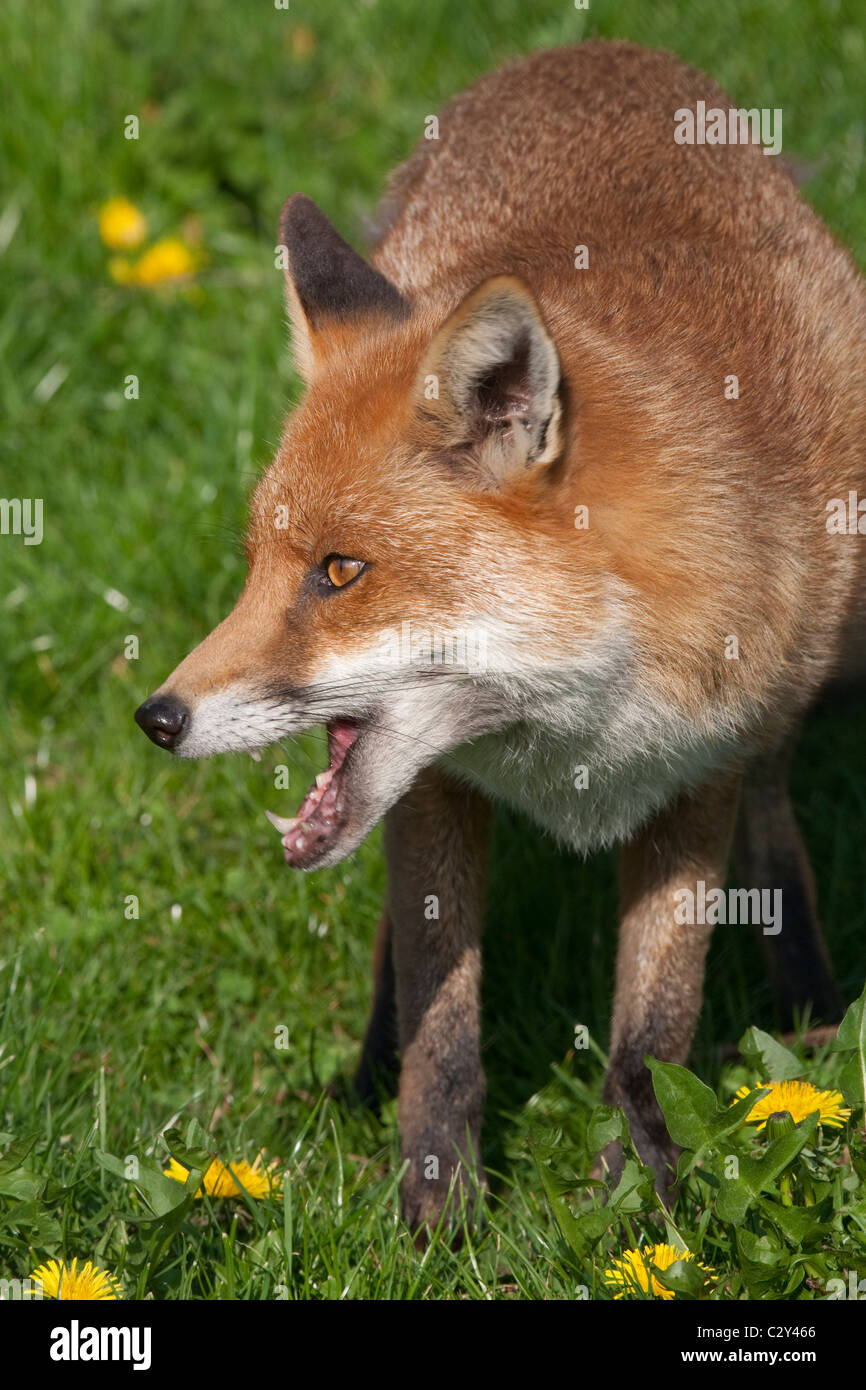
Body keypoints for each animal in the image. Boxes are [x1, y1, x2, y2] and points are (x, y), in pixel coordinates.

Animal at [135, 41, 866, 1228]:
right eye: (254, 566)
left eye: (339, 572)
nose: (156, 717)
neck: (575, 726)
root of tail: (595, 52)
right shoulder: (438, 785)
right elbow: (443, 1030)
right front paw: (435, 1220)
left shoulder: (695, 775)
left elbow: (650, 1037)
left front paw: (641, 1209)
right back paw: (365, 1069)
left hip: (798, 672)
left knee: (775, 811)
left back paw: (806, 1001)